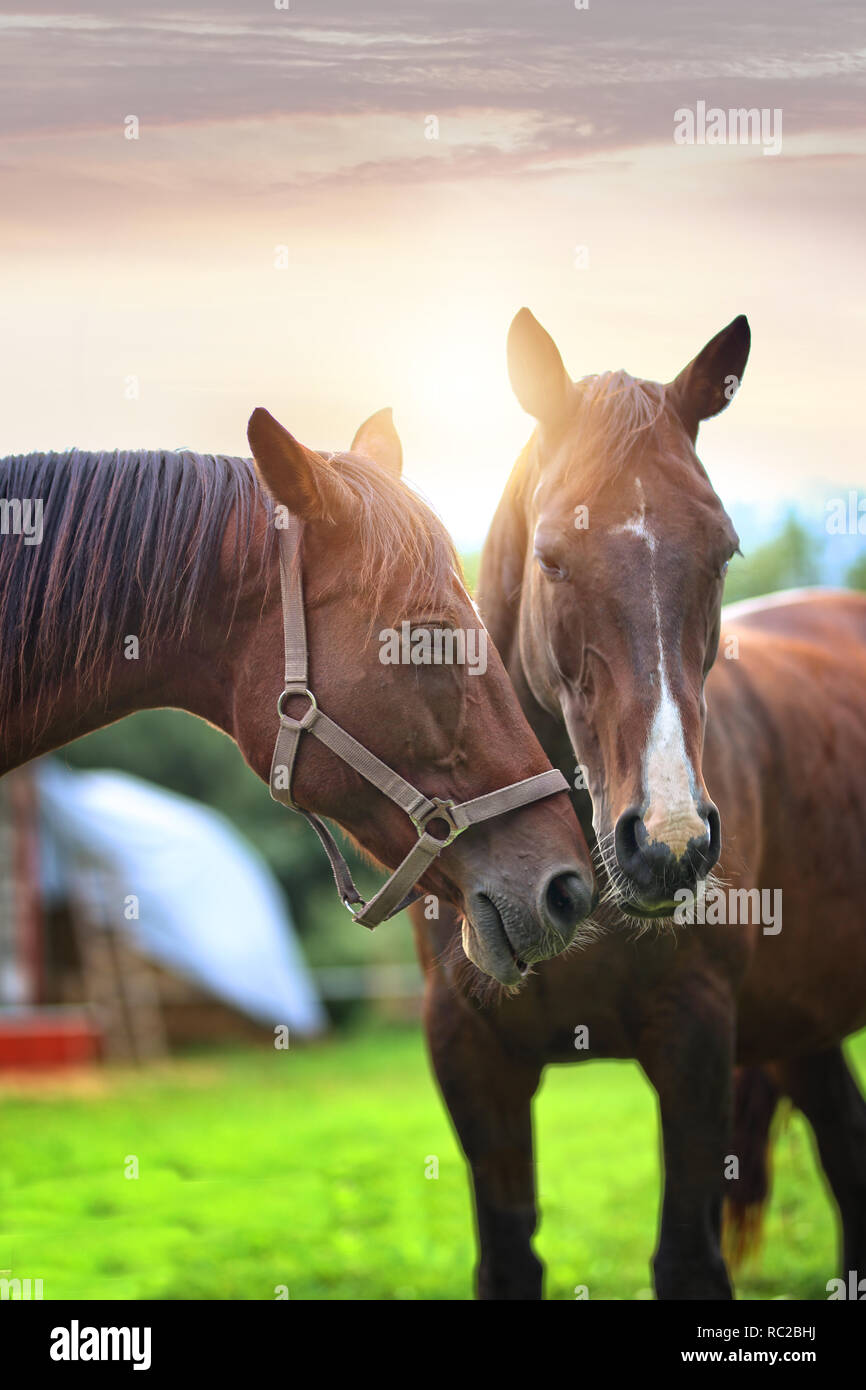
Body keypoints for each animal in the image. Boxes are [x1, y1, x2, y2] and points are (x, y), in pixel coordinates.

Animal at [413, 311, 866, 1299]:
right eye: (552, 558)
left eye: (724, 552)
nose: (668, 843)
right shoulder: (471, 1054)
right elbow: (509, 1260)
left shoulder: (694, 1034)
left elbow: (687, 1260)